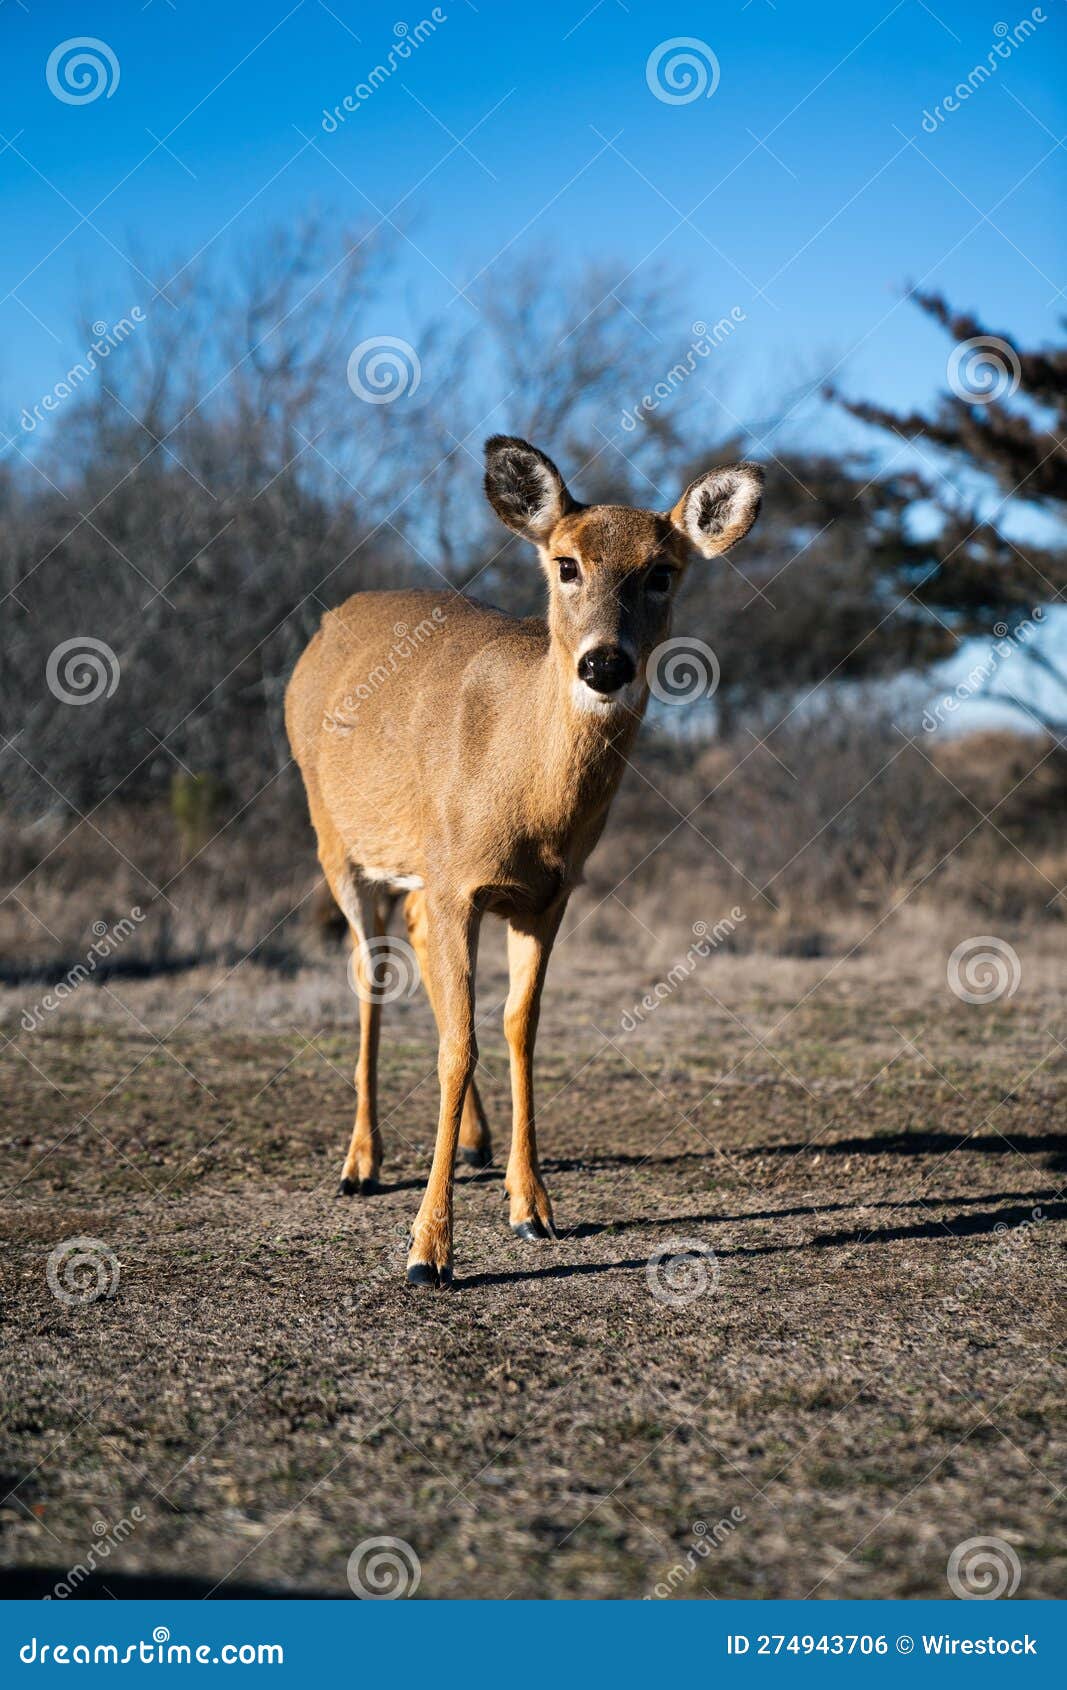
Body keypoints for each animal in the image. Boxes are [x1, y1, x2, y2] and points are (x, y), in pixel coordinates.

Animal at [285, 436, 763, 1287]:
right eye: (565, 563)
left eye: (661, 570)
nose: (604, 665)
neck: (527, 796)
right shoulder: (455, 882)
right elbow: (457, 1046)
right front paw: (427, 1251)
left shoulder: (546, 894)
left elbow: (517, 1026)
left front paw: (532, 1208)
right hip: (335, 839)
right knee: (369, 969)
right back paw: (360, 1163)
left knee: (414, 954)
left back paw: (472, 1146)